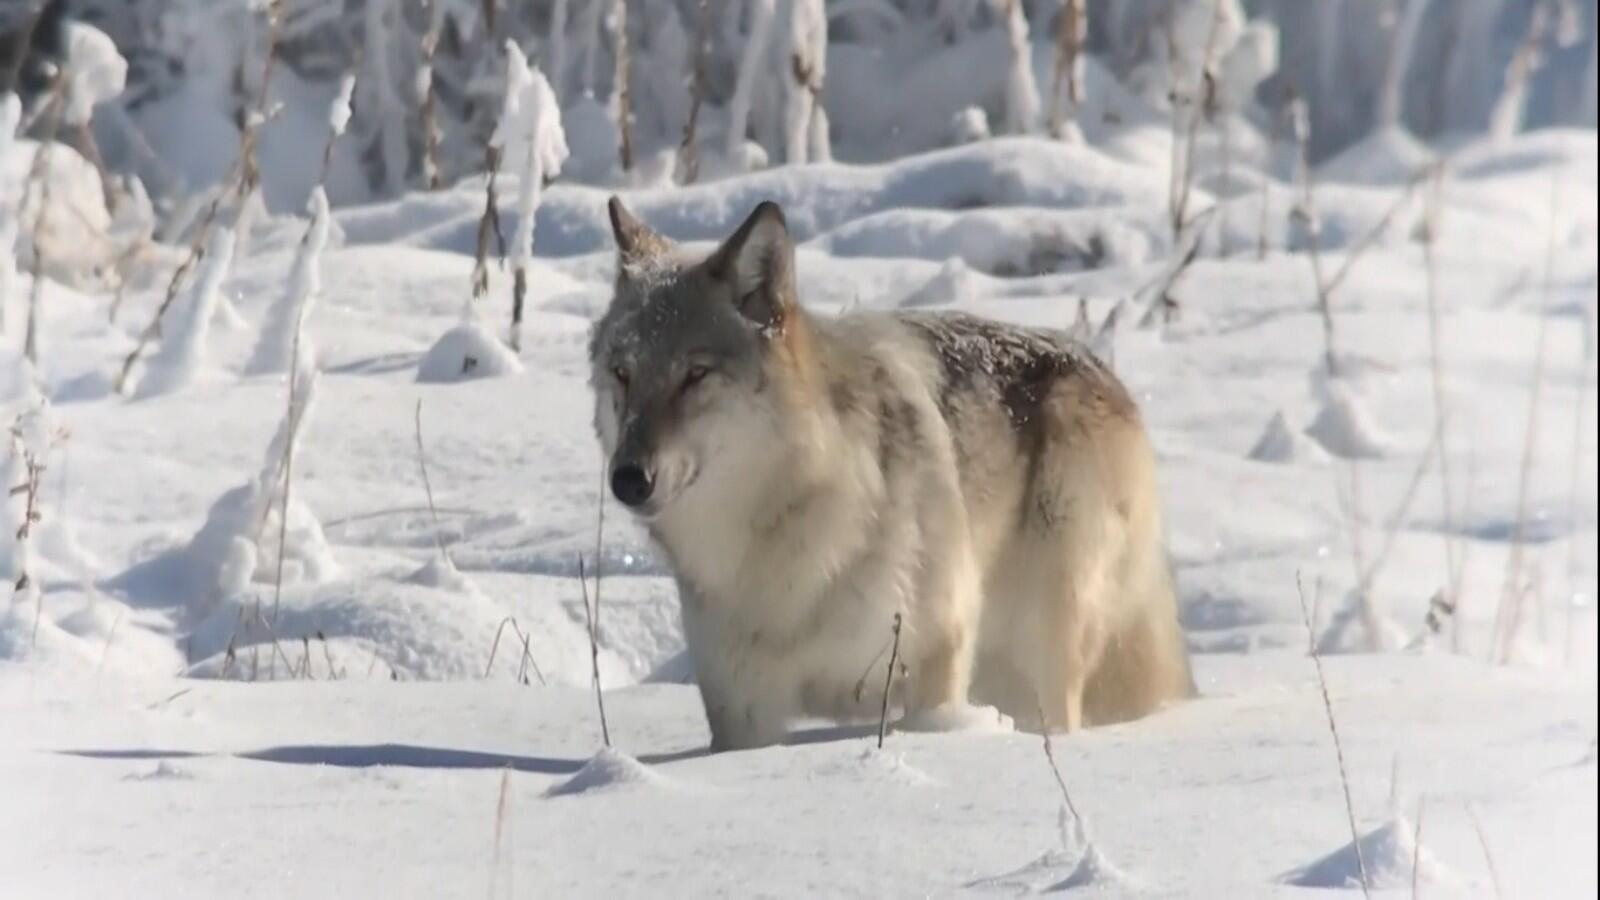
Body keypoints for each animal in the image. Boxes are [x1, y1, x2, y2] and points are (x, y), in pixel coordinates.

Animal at [589, 197, 1194, 751]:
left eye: (695, 375)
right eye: (622, 374)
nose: (628, 478)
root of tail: (1106, 375)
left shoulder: (934, 663)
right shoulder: (740, 714)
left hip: (1039, 661)